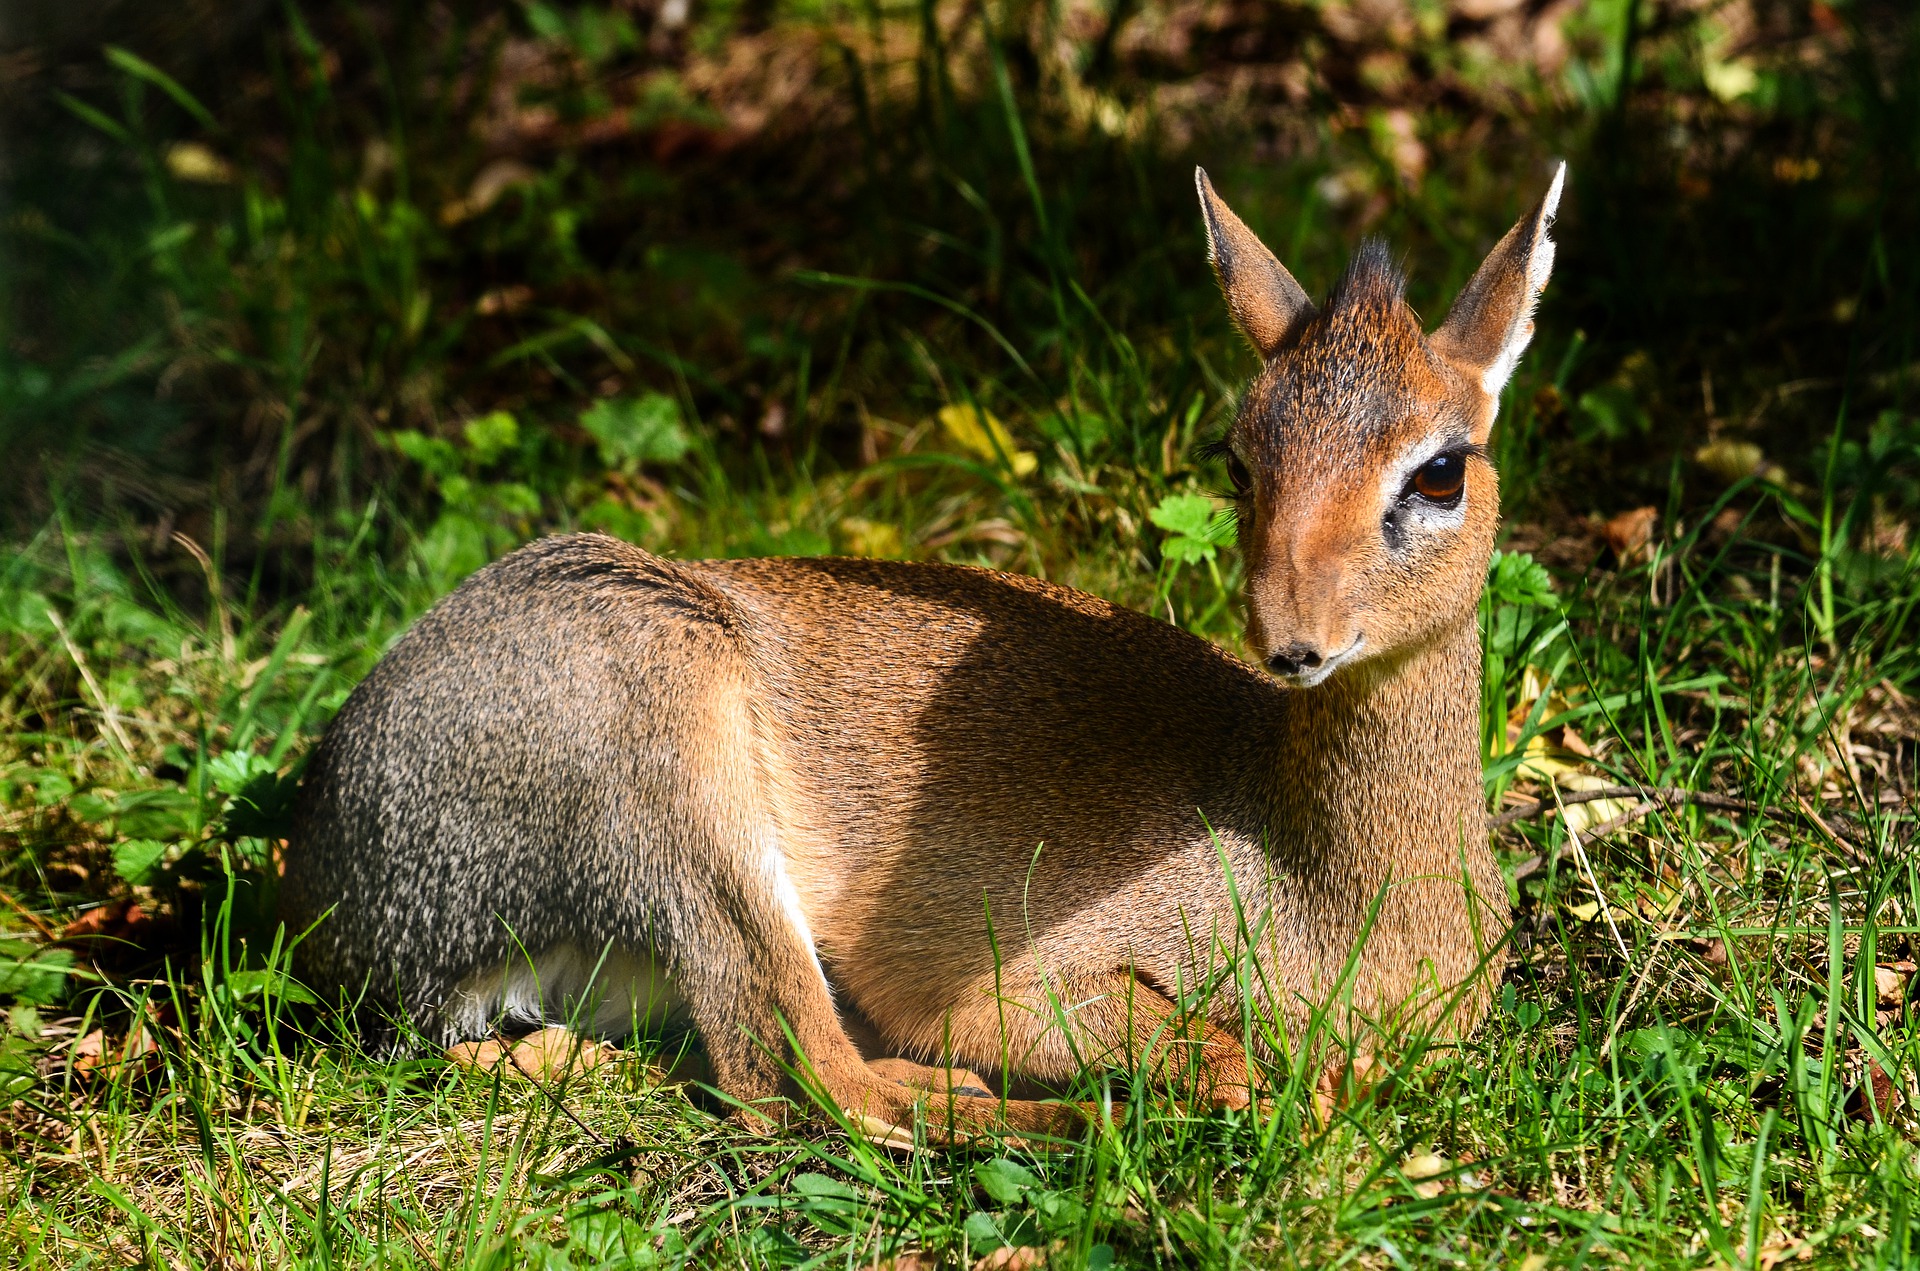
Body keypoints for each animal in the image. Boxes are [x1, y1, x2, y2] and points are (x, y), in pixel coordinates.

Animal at [291, 164, 1566, 1136]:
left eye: (1439, 469)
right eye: (1239, 457)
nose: (1292, 639)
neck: (1334, 898)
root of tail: (343, 887)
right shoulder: (1009, 983)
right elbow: (1215, 1055)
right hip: (678, 773)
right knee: (801, 1084)